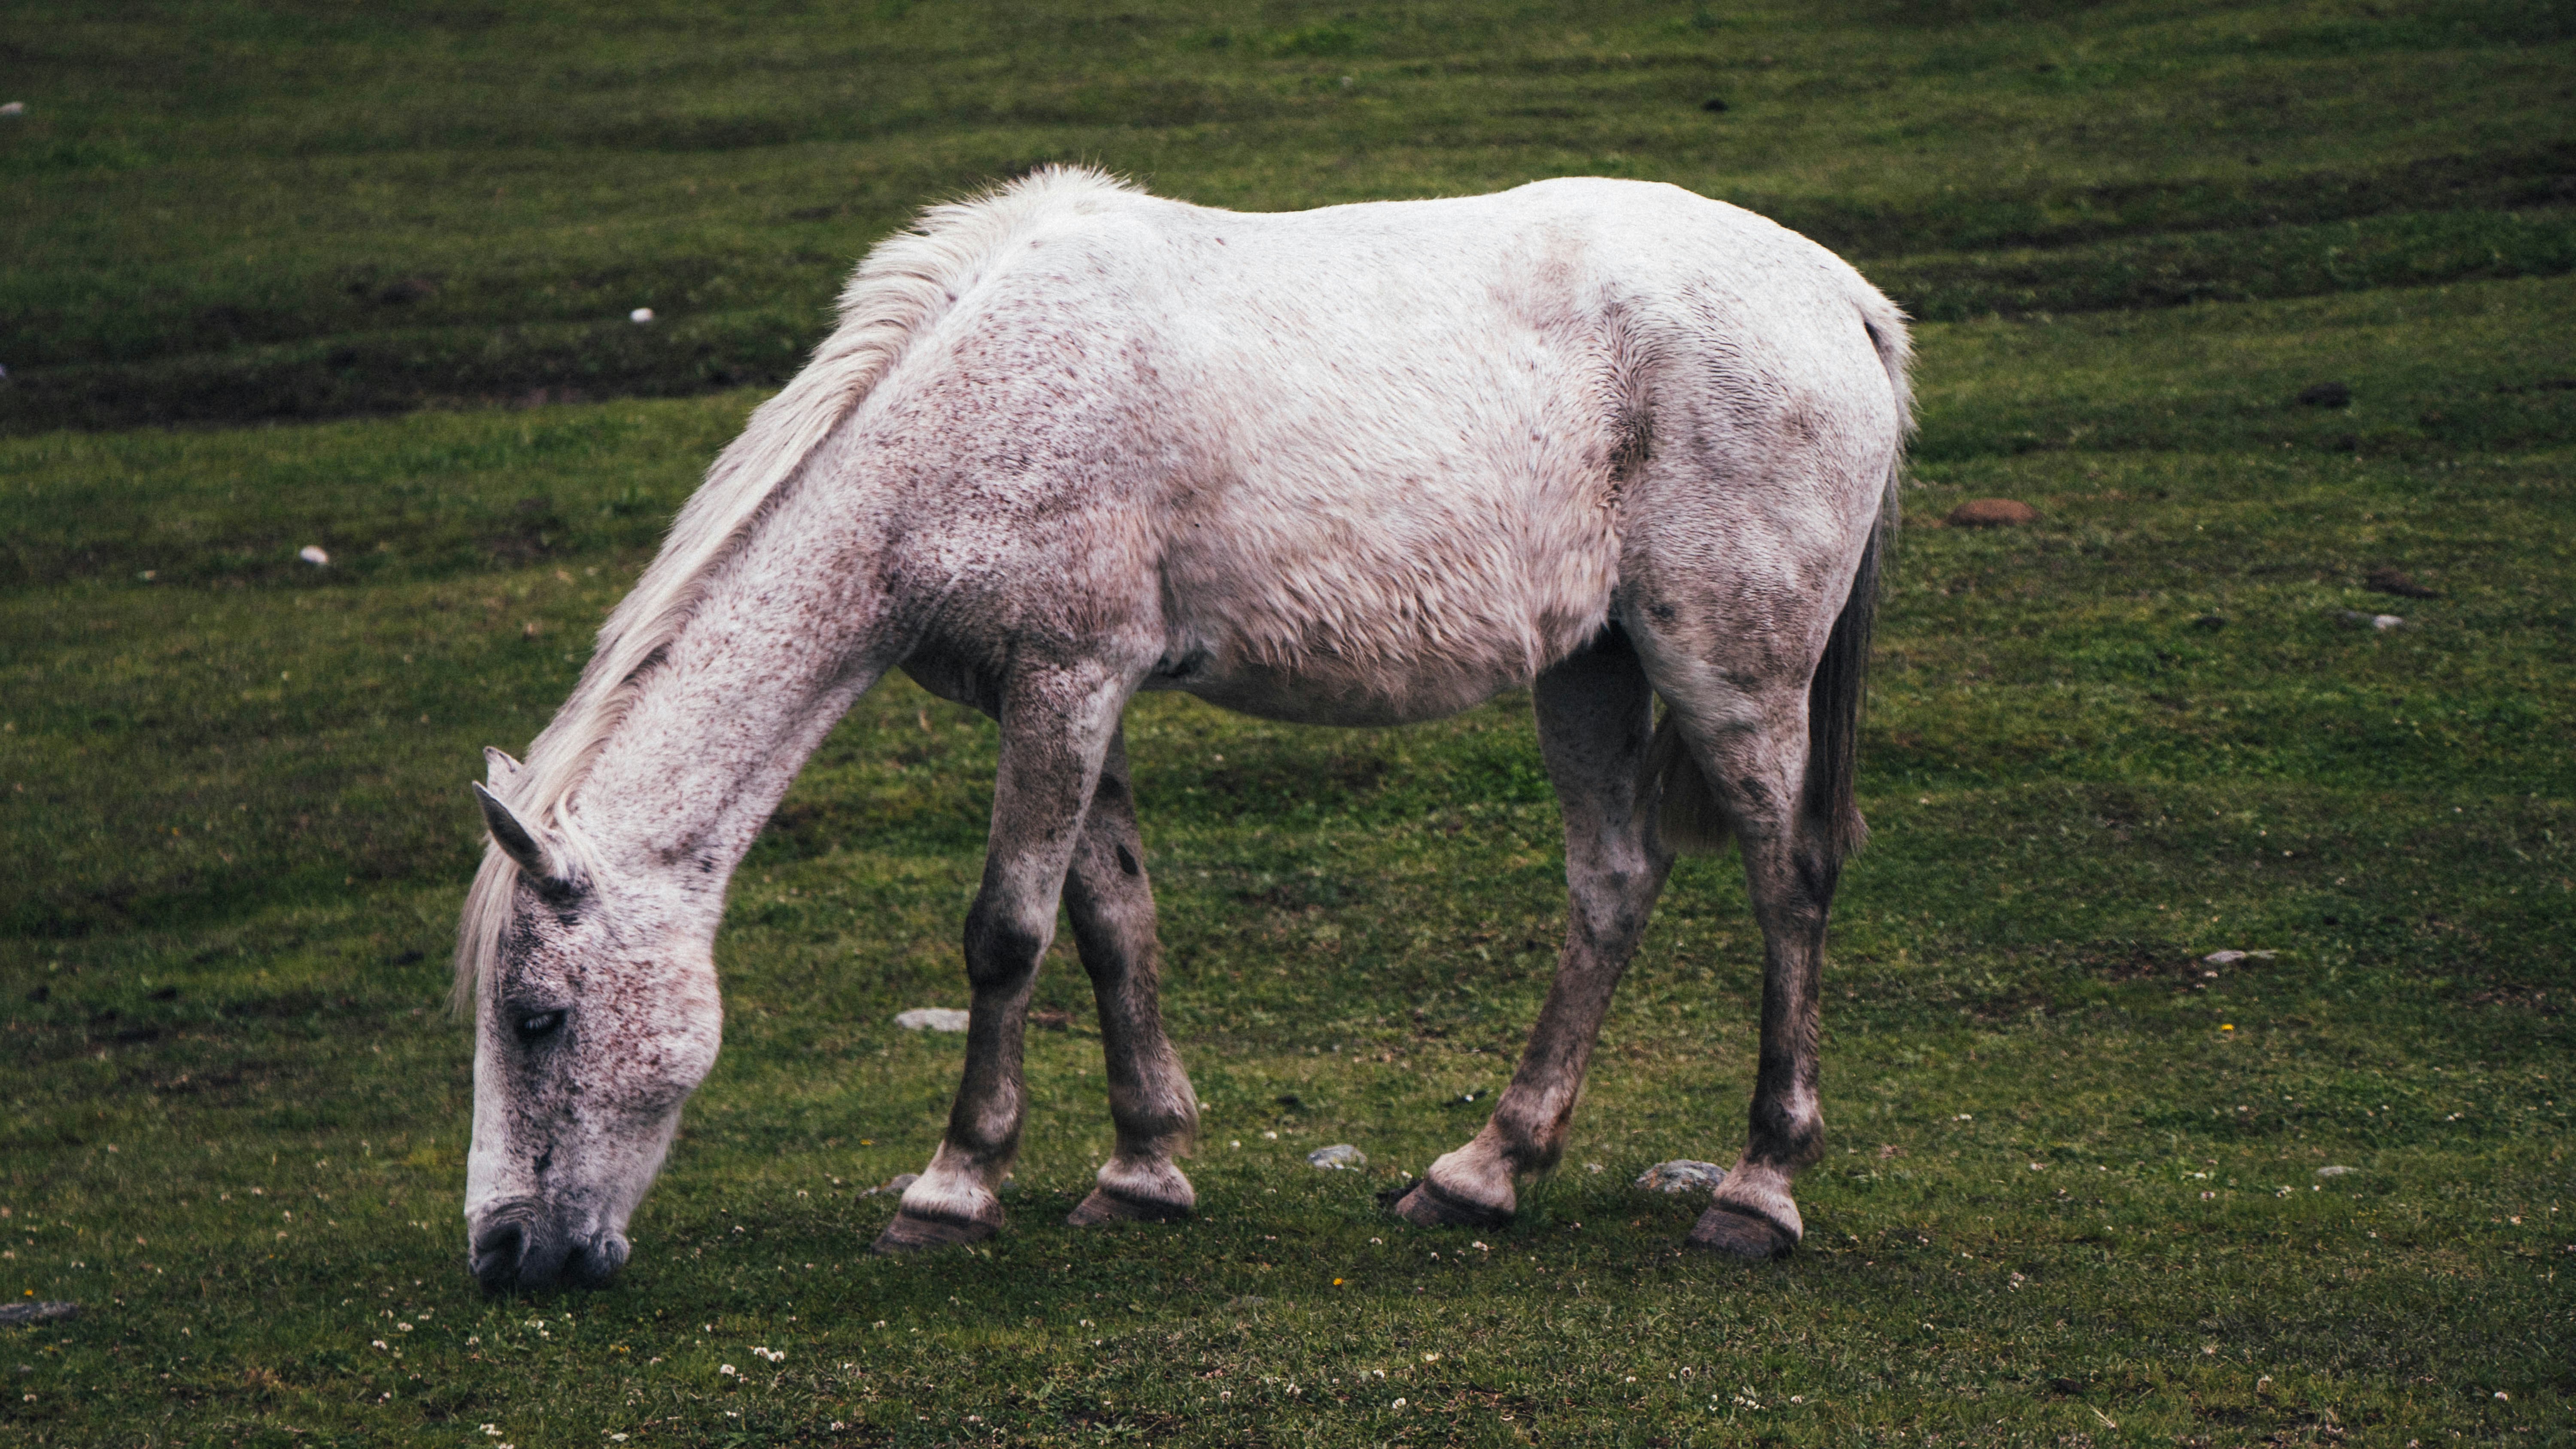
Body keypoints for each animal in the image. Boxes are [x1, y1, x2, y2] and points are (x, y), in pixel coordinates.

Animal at [454, 165, 1911, 1292]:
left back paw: (1755, 1189)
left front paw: (952, 1186)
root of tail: (1841, 298)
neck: (964, 419)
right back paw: (1480, 1172)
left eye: (535, 1017)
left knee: (1788, 882)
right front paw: (1139, 1167)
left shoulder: (1064, 682)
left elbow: (1007, 932)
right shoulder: (1070, 691)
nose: (504, 1253)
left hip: (1727, 670)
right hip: (1592, 668)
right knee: (1612, 882)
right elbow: (1112, 920)